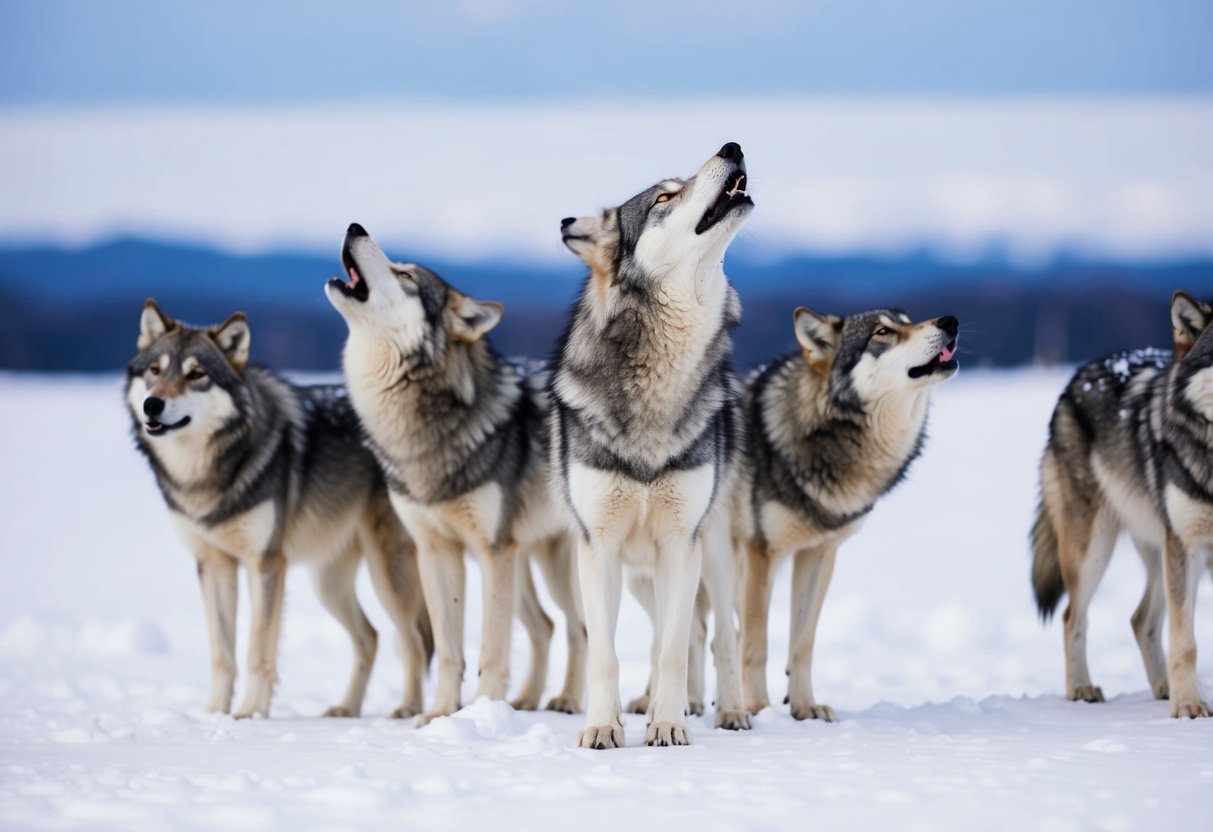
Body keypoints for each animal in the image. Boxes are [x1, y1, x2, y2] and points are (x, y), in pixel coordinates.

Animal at [126, 300, 432, 719]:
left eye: (196, 374)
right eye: (155, 371)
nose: (152, 404)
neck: (205, 474)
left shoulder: (266, 562)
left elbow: (257, 647)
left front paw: (250, 713)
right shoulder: (213, 565)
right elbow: (221, 652)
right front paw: (213, 713)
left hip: (386, 571)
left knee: (414, 639)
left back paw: (408, 710)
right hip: (328, 582)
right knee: (370, 636)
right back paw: (345, 709)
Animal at [327, 224, 585, 725]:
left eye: (406, 275)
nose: (354, 227)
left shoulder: (492, 552)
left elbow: (490, 648)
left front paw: (480, 715)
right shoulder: (437, 551)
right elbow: (448, 648)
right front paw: (441, 715)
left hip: (561, 564)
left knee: (588, 626)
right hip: (525, 562)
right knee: (547, 625)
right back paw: (529, 700)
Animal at [552, 142, 755, 748]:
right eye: (665, 196)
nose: (733, 147)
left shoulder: (680, 542)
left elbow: (671, 647)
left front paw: (667, 726)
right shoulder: (599, 550)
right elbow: (605, 653)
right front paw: (602, 727)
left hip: (710, 553)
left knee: (719, 632)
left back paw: (727, 711)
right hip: (640, 573)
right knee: (691, 630)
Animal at [740, 306, 959, 720]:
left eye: (908, 319)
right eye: (882, 332)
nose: (950, 322)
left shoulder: (819, 554)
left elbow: (802, 643)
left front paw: (804, 709)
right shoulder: (758, 554)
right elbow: (755, 643)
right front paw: (760, 711)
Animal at [1032, 291, 1213, 718]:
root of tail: (1078, 375)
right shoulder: (1185, 546)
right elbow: (1186, 642)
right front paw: (1188, 708)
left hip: (1163, 555)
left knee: (1140, 619)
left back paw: (1163, 688)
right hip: (1094, 551)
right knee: (1072, 617)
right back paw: (1082, 688)